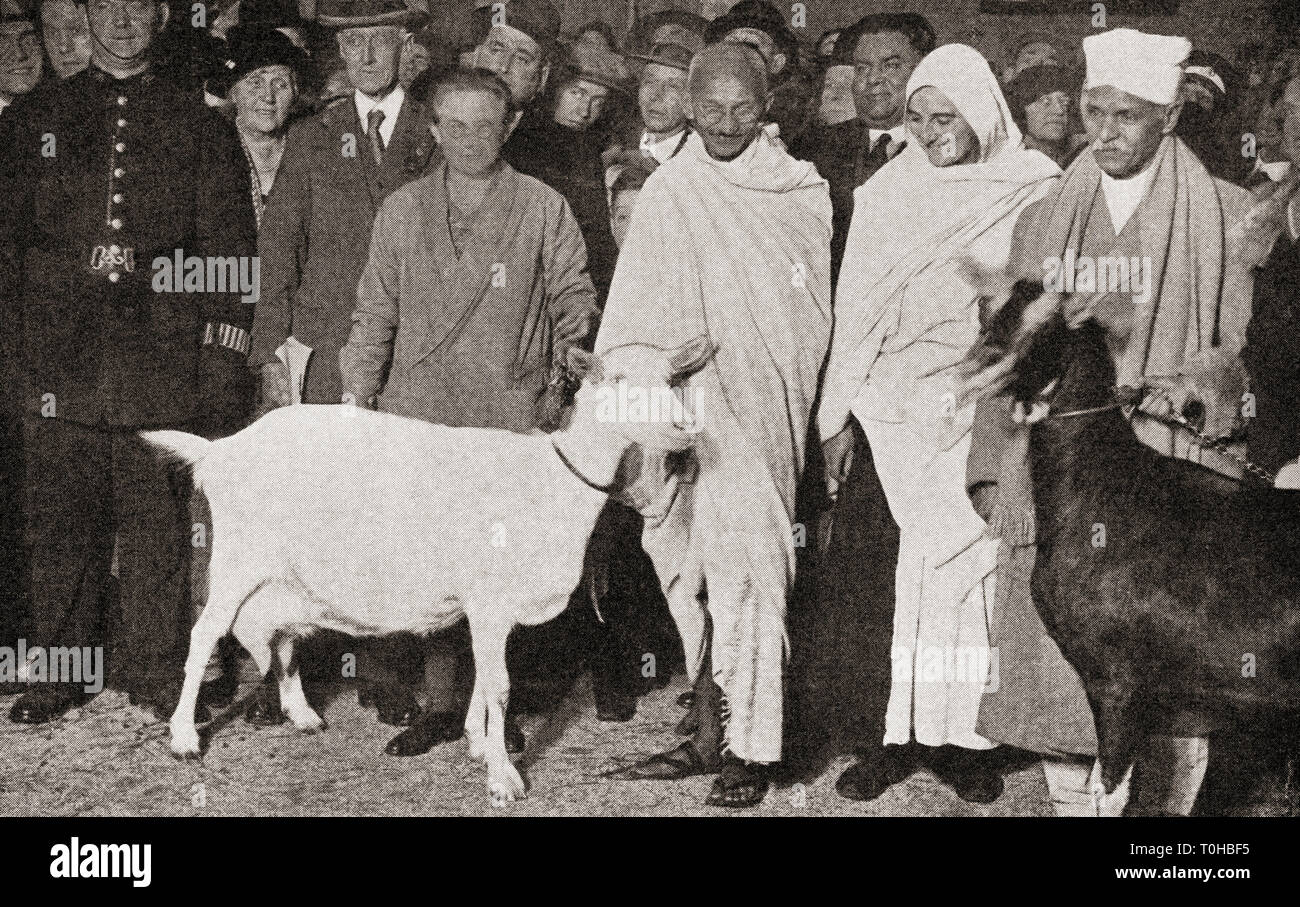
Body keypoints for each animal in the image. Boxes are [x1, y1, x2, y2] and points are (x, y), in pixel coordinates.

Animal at [144, 337, 712, 800]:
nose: (683, 430)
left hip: (283, 576)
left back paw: (302, 714)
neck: (553, 478)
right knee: (206, 633)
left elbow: (483, 678)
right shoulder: (489, 601)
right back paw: (185, 737)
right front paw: (504, 778)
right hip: (237, 559)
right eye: (616, 379)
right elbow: (499, 685)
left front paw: (479, 744)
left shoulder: (489, 610)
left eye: (673, 379)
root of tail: (222, 449)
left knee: (278, 636)